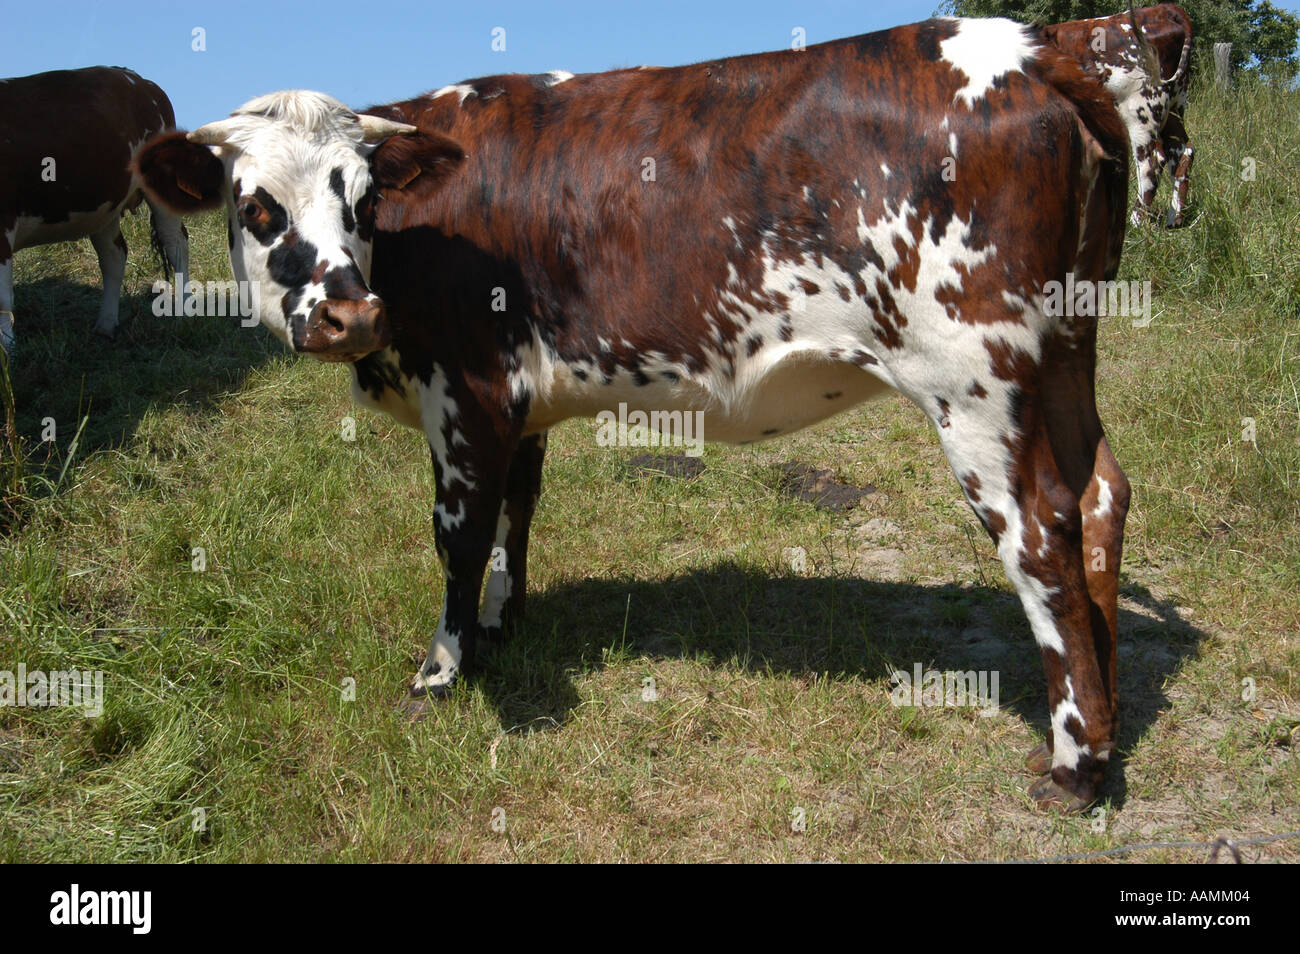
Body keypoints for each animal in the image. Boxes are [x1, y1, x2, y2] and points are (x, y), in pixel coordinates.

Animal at [0, 66, 190, 354]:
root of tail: (138, 79)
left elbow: (3, 298)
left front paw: (8, 352)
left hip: (162, 187)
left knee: (176, 244)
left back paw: (184, 310)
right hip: (106, 206)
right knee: (114, 256)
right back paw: (106, 325)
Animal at [132, 16, 1132, 811]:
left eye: (364, 196)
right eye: (258, 205)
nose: (351, 314)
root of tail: (1033, 49)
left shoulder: (467, 389)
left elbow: (459, 532)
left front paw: (442, 670)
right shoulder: (518, 401)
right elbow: (516, 512)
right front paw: (501, 622)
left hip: (973, 381)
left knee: (1040, 531)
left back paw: (1074, 767)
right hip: (1067, 353)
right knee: (1099, 498)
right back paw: (1112, 721)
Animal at [1044, 4, 1194, 227]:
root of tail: (1163, 9)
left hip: (1142, 109)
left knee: (1151, 162)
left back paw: (1136, 222)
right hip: (1175, 106)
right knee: (1182, 152)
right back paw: (1173, 220)